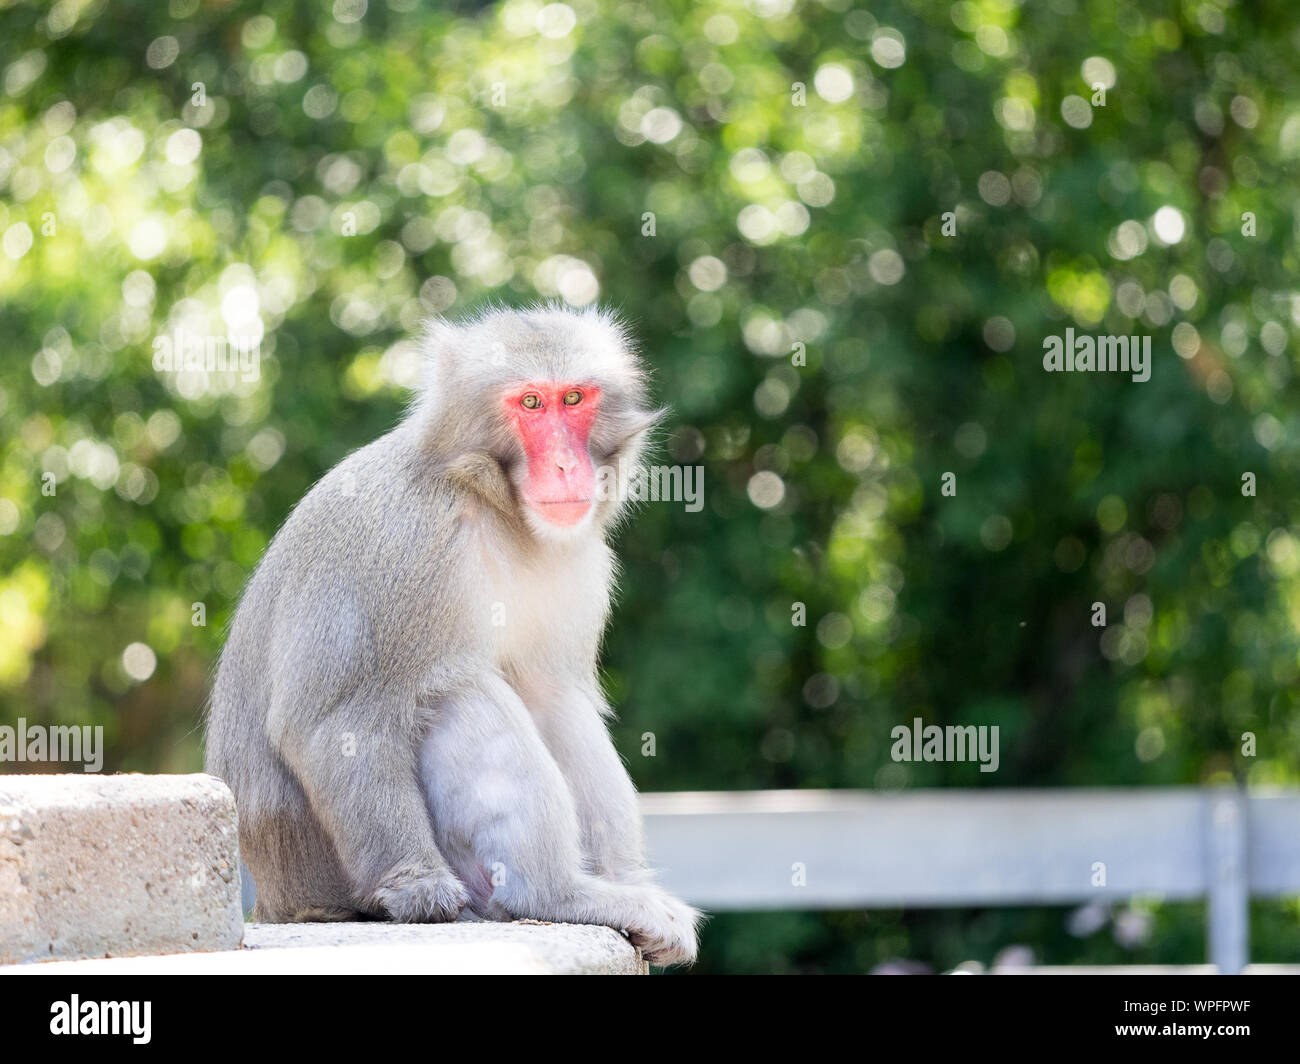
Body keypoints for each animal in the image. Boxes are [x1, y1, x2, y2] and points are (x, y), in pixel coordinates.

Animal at [205, 304, 700, 966]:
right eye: (531, 403)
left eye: (573, 398)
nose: (567, 466)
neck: (493, 504)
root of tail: (279, 898)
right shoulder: (406, 544)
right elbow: (336, 722)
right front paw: (416, 884)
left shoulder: (582, 562)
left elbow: (551, 695)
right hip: (332, 878)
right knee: (457, 689)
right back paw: (554, 892)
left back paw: (616, 889)